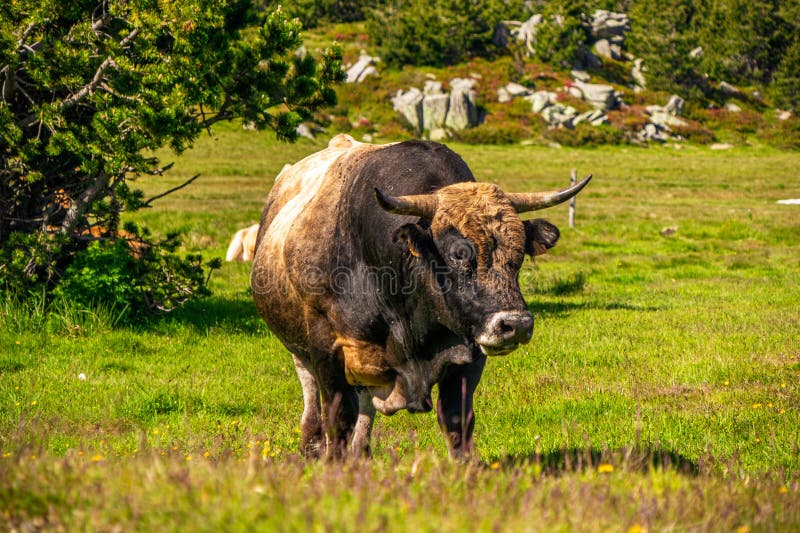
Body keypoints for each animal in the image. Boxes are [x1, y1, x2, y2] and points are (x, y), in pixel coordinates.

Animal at [251, 134, 590, 459]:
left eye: (519, 255)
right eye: (457, 254)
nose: (516, 325)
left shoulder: (469, 354)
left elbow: (456, 422)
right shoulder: (327, 351)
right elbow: (339, 420)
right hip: (301, 351)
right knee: (314, 405)